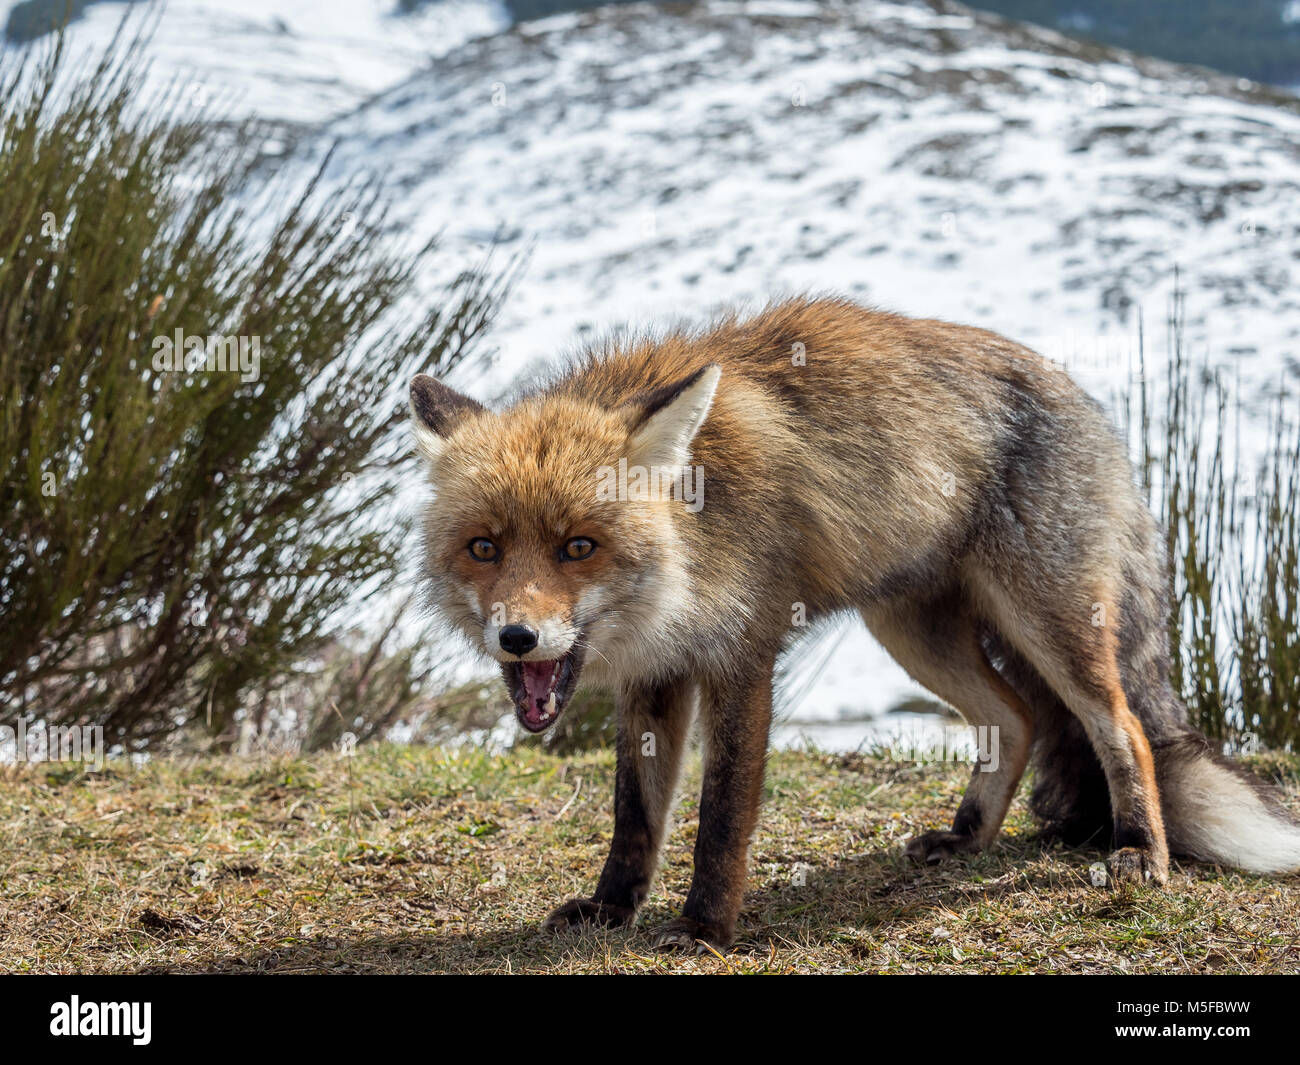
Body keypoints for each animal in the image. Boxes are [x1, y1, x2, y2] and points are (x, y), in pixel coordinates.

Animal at [409, 296, 1300, 952]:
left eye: (578, 546)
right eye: (484, 546)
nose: (516, 638)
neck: (695, 530)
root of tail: (1085, 398)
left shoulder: (743, 654)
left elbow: (722, 818)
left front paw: (704, 928)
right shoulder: (657, 674)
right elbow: (636, 816)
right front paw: (611, 910)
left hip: (1048, 622)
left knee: (1123, 728)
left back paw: (1139, 849)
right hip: (911, 630)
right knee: (1014, 716)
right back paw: (967, 837)